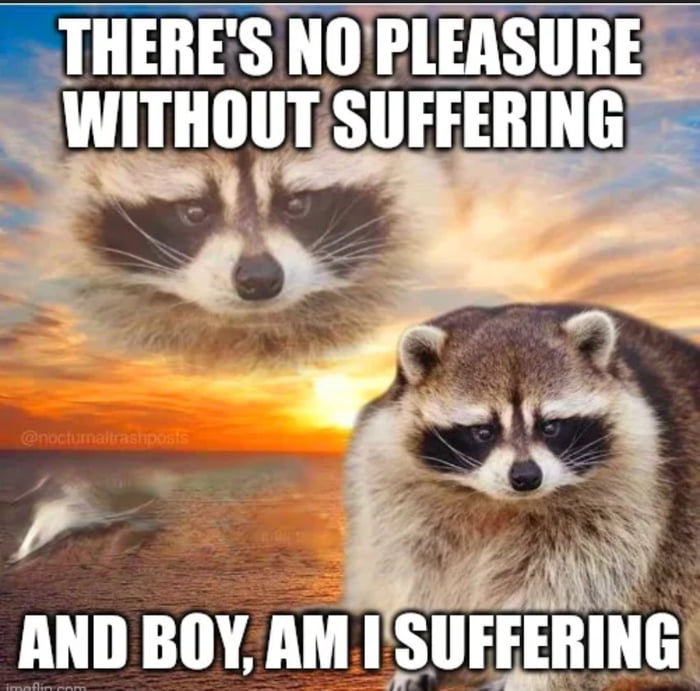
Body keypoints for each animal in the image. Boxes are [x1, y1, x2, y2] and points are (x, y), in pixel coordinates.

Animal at [343, 303, 700, 691]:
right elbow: (410, 567)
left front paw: (526, 677)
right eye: (482, 431)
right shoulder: (392, 481)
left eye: (551, 426)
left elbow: (577, 594)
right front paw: (418, 652)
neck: (495, 501)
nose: (526, 477)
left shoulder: (627, 498)